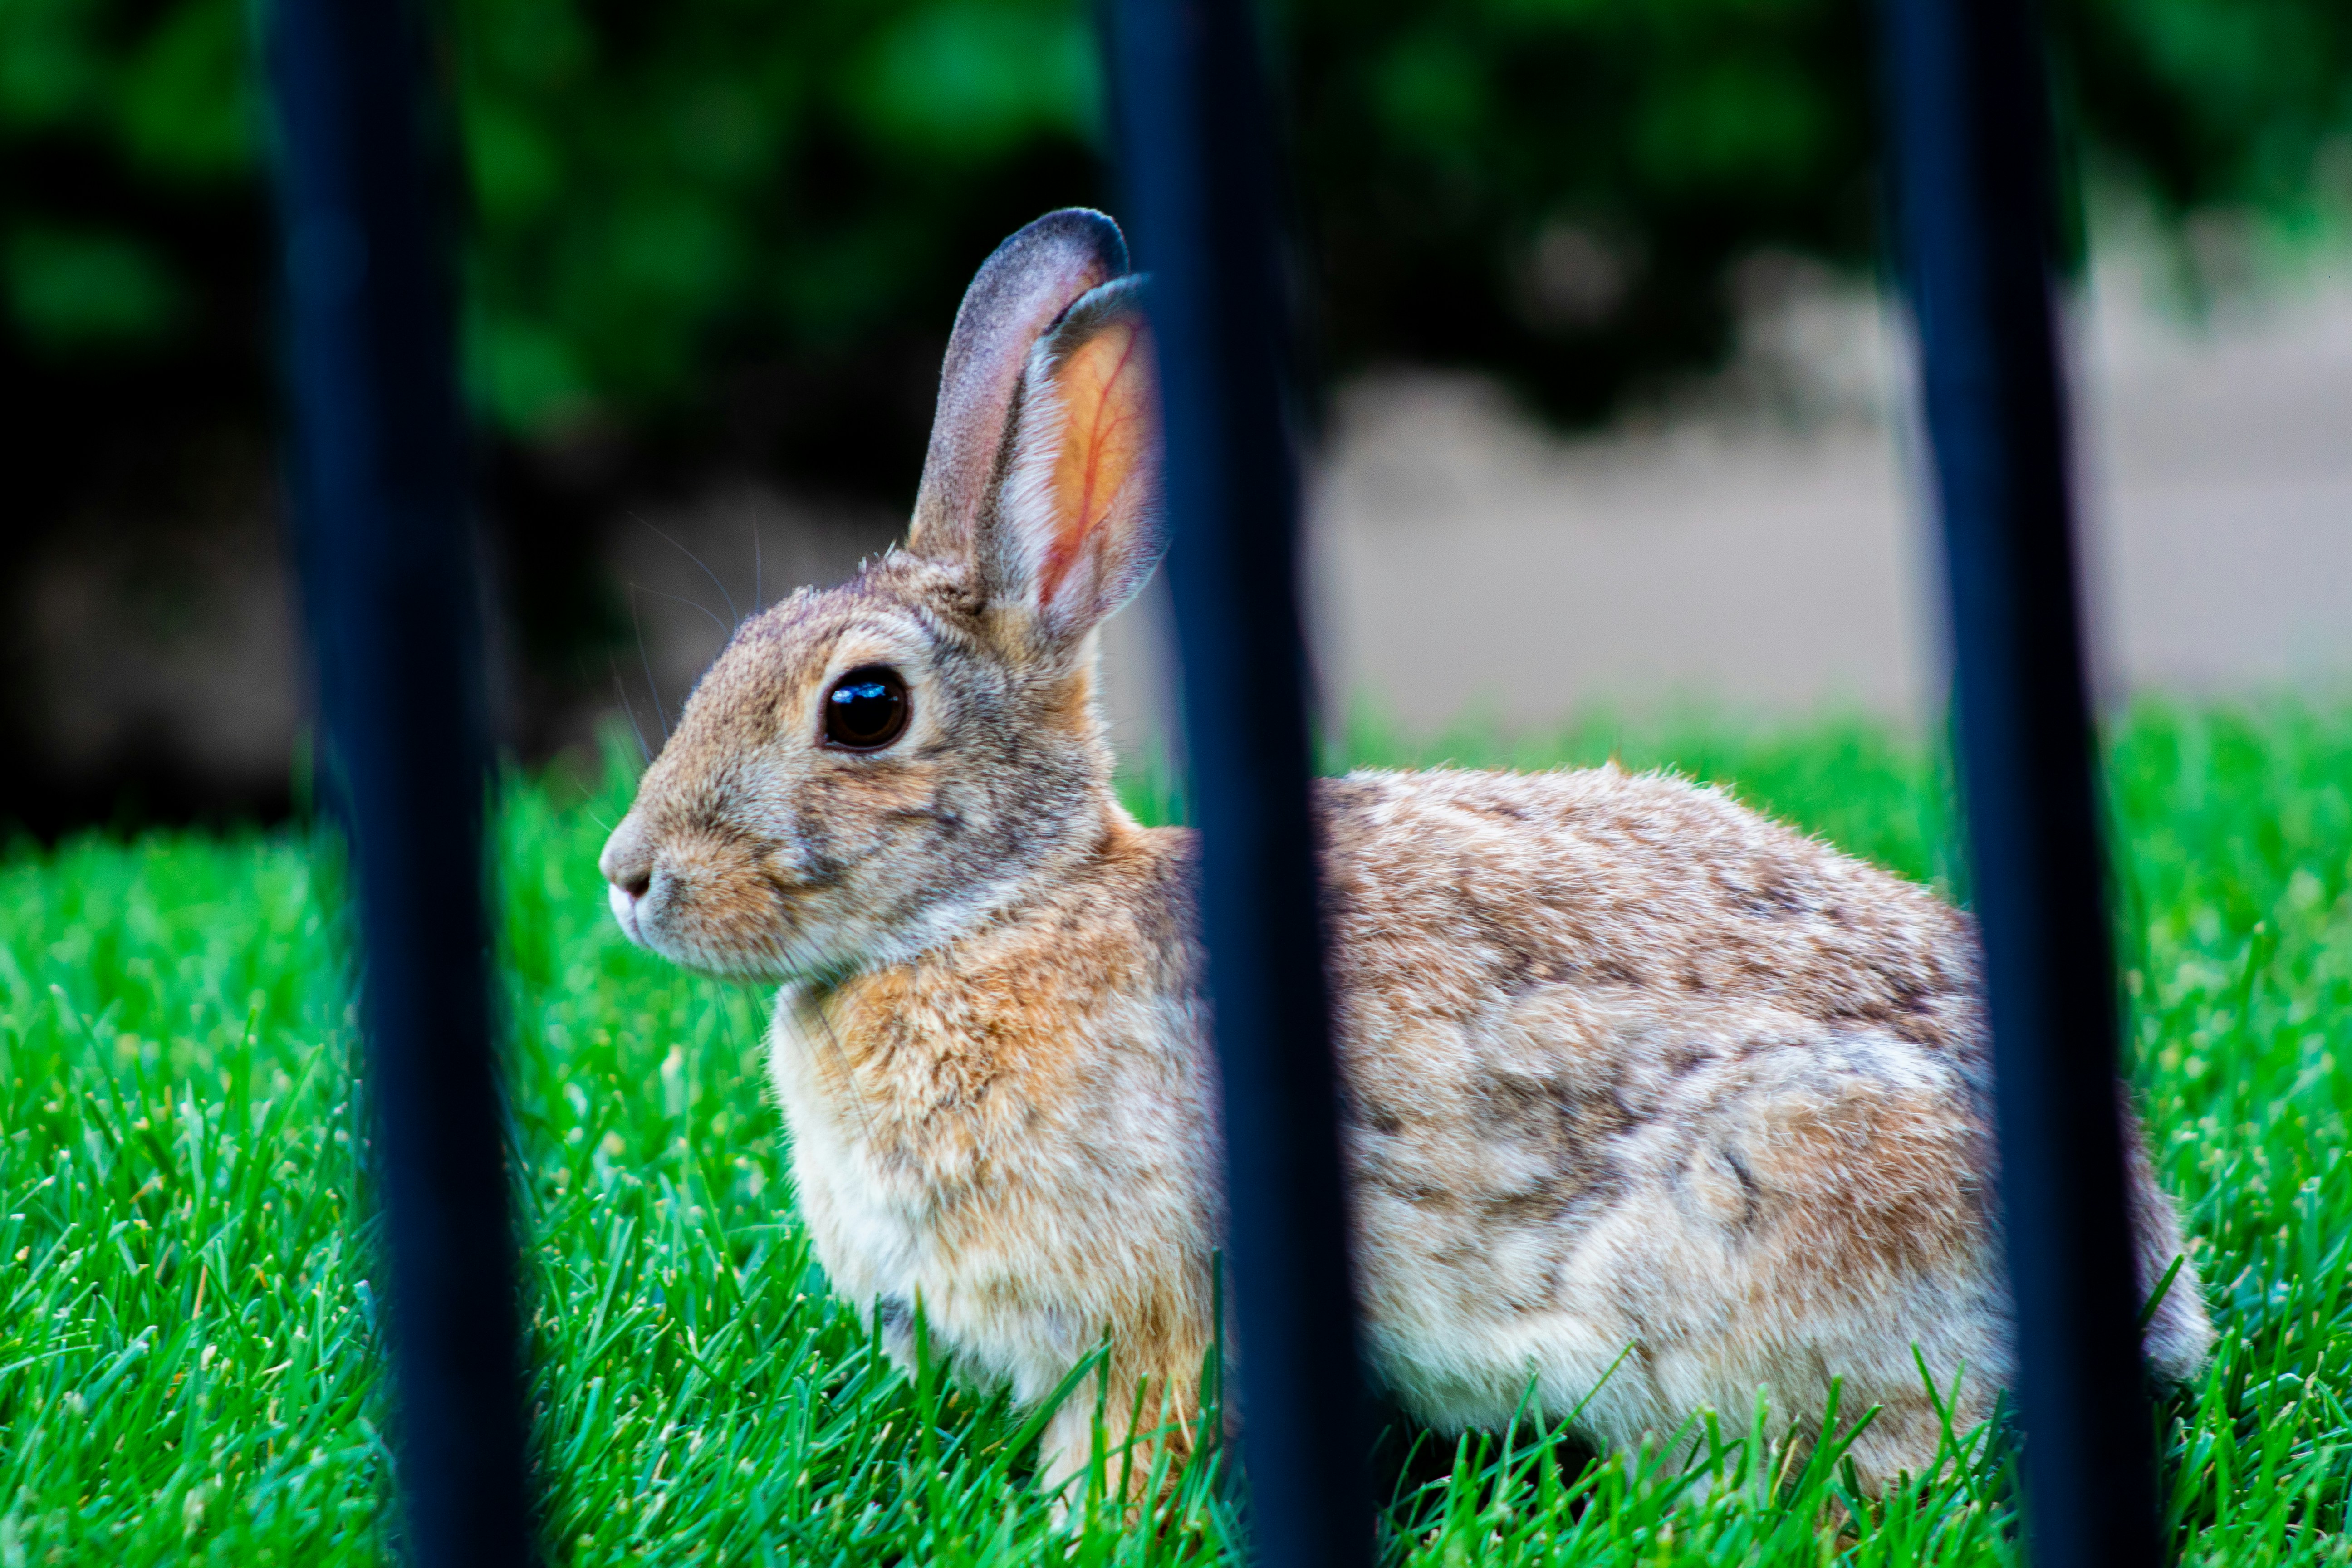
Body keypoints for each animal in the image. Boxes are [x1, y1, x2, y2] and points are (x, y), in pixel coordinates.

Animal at [597, 207, 2213, 1498]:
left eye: (864, 709)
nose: (628, 876)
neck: (1004, 908)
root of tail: (2144, 1275)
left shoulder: (1156, 1308)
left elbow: (1132, 1441)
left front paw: (1079, 1528)